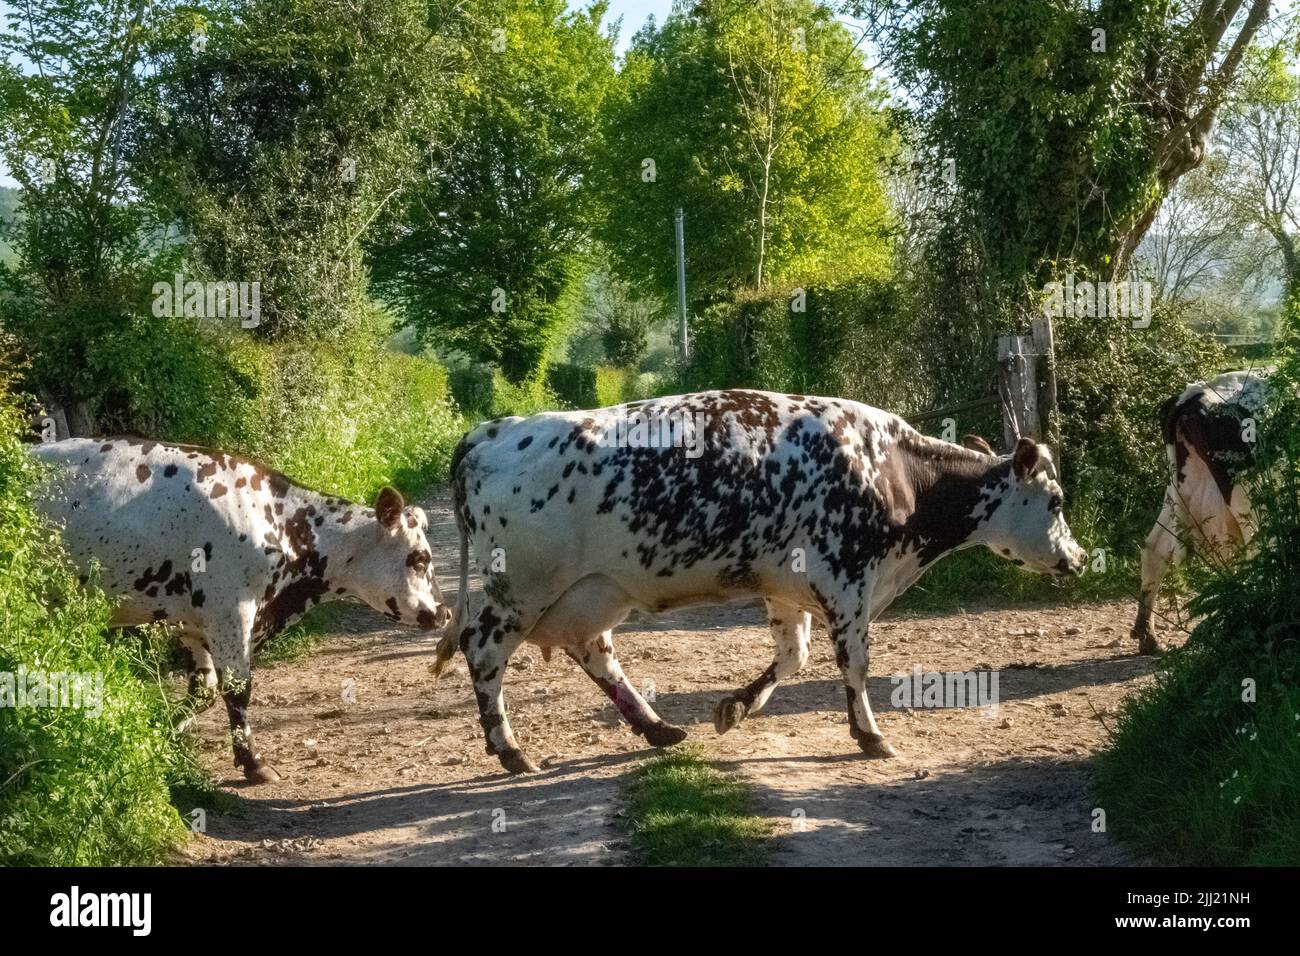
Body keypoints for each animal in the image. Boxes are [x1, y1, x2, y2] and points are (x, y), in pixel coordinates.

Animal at [29, 436, 452, 783]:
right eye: (419, 558)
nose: (443, 612)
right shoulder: (230, 612)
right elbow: (237, 690)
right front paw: (253, 762)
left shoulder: (193, 619)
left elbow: (204, 691)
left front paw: (162, 730)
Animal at [430, 389, 1086, 774]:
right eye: (1055, 501)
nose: (1078, 558)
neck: (891, 471)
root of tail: (488, 433)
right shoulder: (848, 582)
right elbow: (854, 665)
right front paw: (870, 735)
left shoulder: (785, 589)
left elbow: (792, 659)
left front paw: (735, 707)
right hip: (520, 591)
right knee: (484, 652)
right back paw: (511, 750)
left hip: (591, 591)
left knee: (594, 652)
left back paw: (657, 728)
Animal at [1131, 369, 1271, 655]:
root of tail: (1192, 395)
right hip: (1249, 498)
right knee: (1257, 553)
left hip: (1180, 488)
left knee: (1154, 547)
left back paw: (1148, 637)